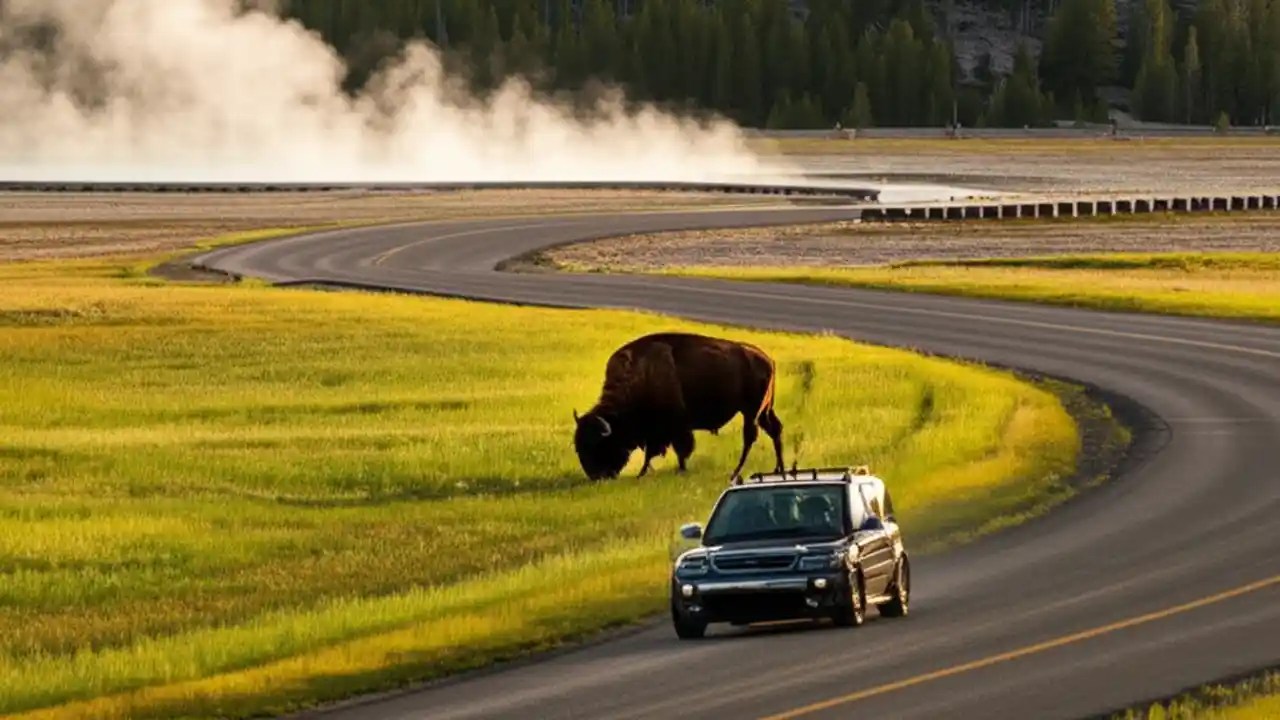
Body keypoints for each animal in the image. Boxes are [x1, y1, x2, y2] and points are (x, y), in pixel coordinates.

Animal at [572, 332, 785, 482]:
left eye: (598, 444)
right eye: (578, 447)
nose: (596, 476)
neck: (642, 375)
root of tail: (767, 359)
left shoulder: (674, 427)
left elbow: (677, 449)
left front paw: (677, 470)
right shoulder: (657, 432)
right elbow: (653, 452)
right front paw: (644, 472)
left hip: (751, 411)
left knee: (749, 437)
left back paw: (736, 472)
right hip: (764, 411)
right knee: (774, 430)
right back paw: (778, 469)